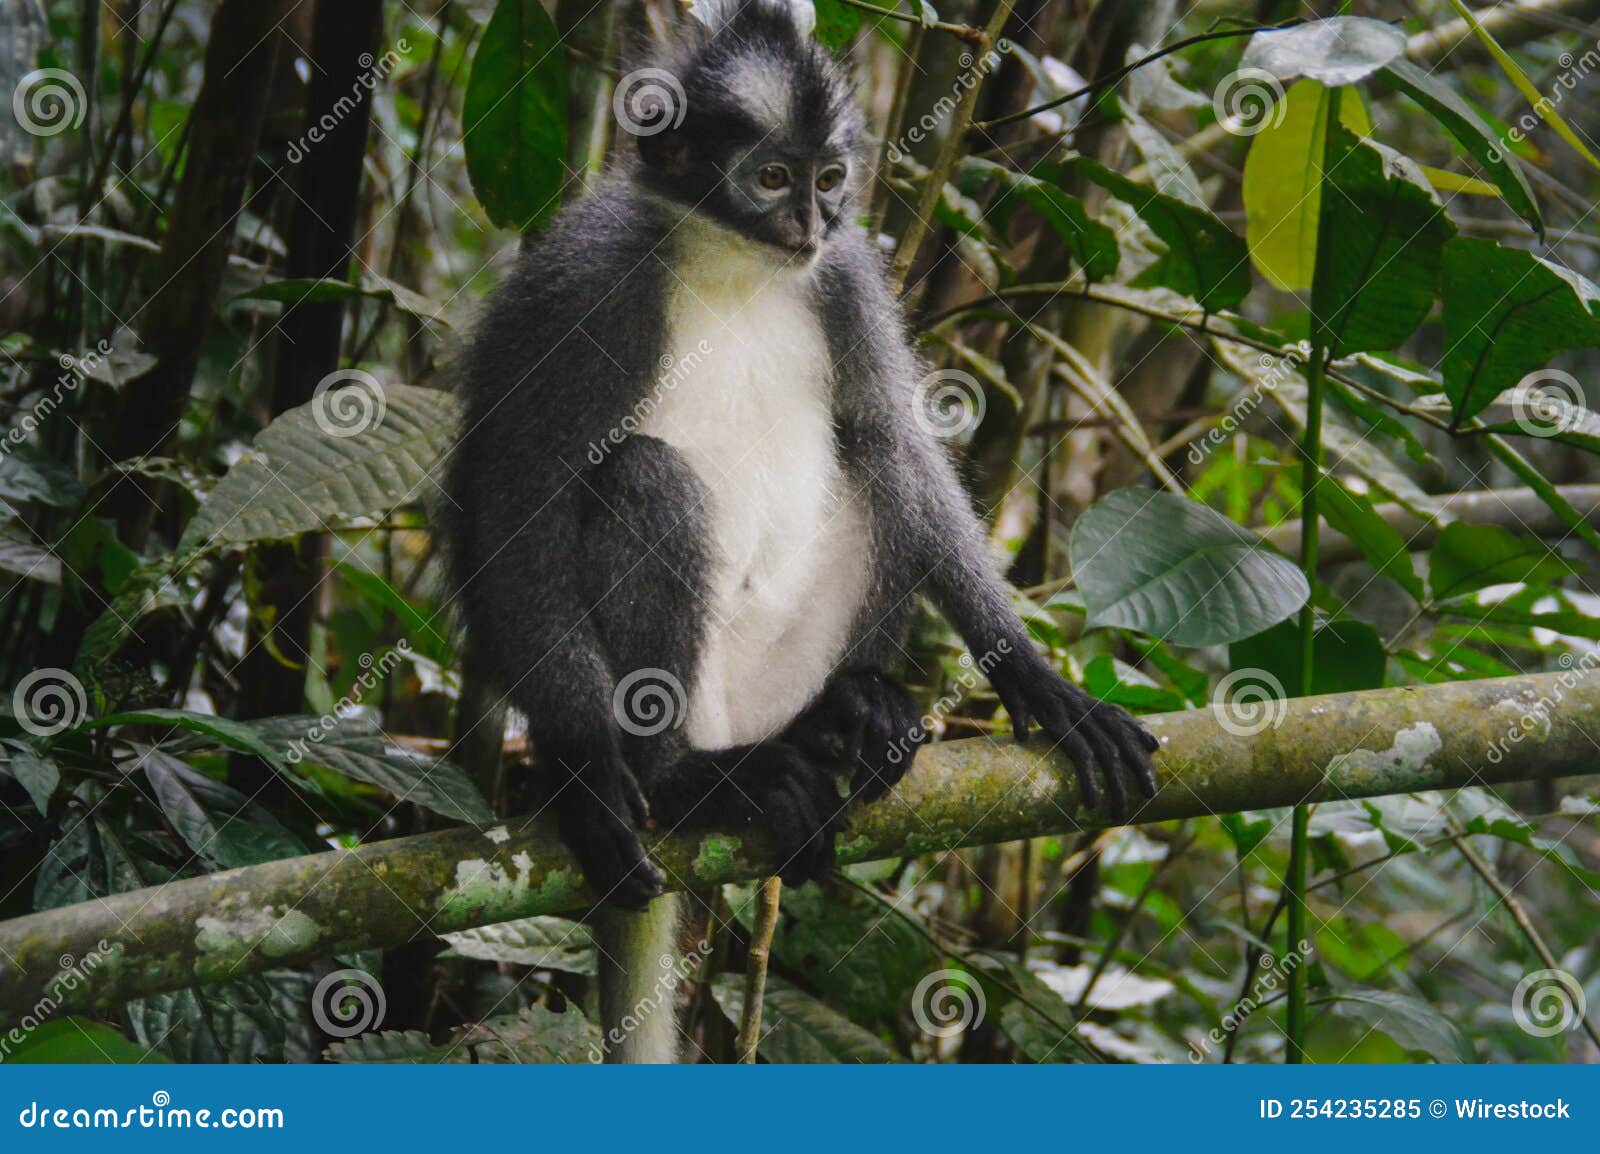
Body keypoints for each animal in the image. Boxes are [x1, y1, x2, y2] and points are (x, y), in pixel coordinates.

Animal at [445, 0, 1159, 1060]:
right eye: (771, 178)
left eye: (828, 179)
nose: (812, 223)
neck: (735, 259)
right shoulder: (585, 287)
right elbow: (518, 493)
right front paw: (586, 774)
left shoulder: (849, 278)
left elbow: (895, 440)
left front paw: (1036, 680)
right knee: (643, 478)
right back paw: (689, 782)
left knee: (871, 462)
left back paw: (847, 710)